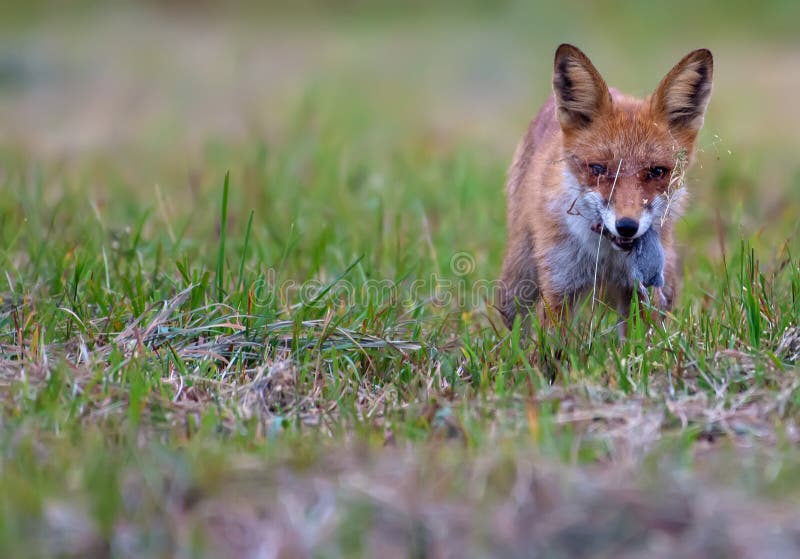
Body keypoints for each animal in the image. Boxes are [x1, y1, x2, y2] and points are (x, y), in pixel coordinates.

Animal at [498, 44, 713, 332]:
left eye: (657, 172)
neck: (607, 258)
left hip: (666, 282)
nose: (627, 226)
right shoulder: (558, 287)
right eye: (599, 169)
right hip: (517, 282)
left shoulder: (642, 291)